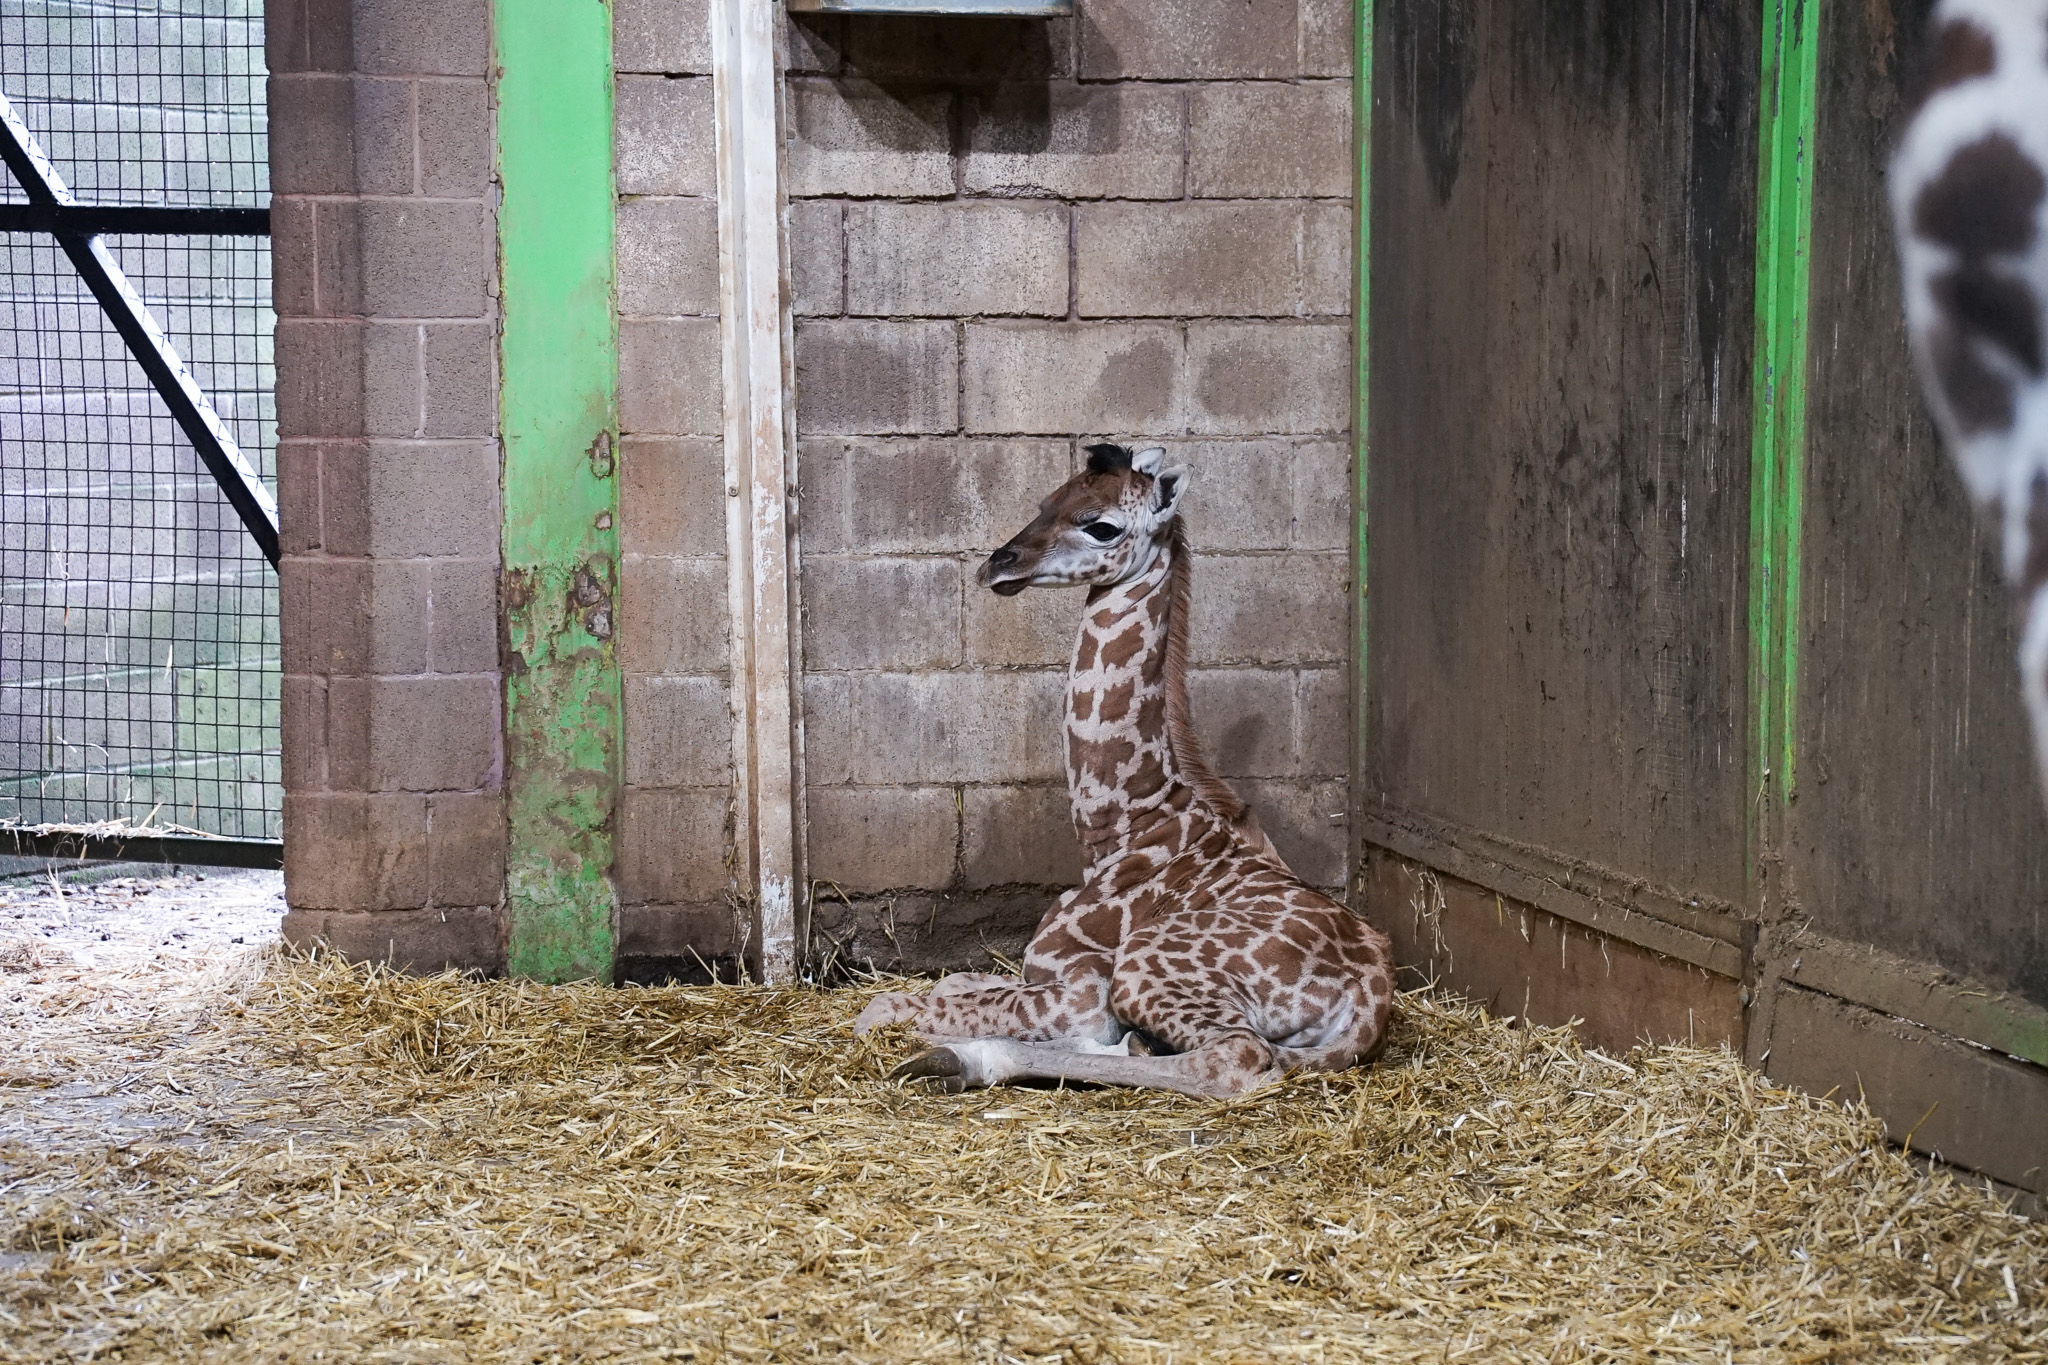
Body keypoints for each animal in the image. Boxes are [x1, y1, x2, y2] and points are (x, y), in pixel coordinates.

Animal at [852, 443, 1395, 1099]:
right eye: (1047, 500)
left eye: (1102, 526)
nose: (996, 566)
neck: (1122, 826)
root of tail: (1370, 1000)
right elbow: (953, 982)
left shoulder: (1079, 991)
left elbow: (886, 1006)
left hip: (1144, 966)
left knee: (1235, 1057)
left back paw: (955, 1059)